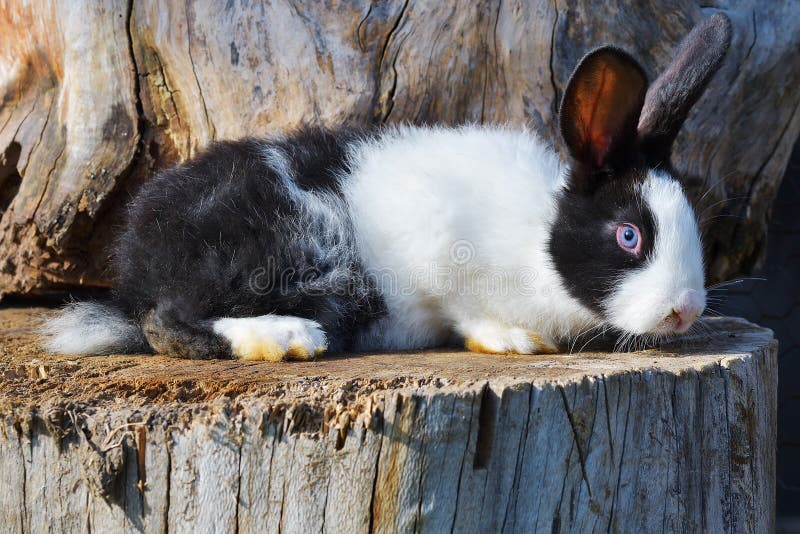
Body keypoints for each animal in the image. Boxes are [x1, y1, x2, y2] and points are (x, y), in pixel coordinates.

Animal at [42, 13, 732, 361]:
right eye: (629, 235)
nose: (684, 311)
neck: (538, 242)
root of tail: (137, 262)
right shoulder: (439, 248)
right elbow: (464, 308)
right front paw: (512, 340)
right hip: (268, 250)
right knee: (165, 322)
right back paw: (289, 339)